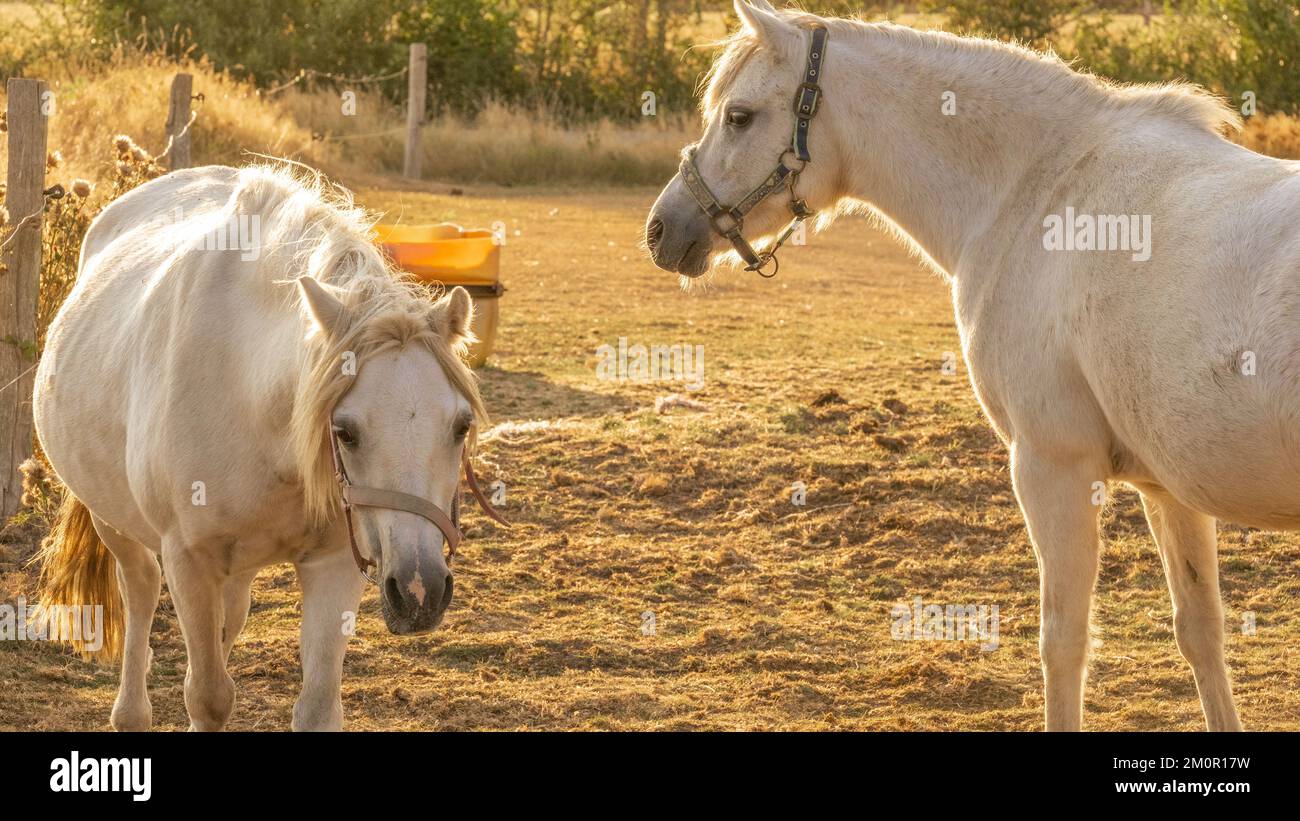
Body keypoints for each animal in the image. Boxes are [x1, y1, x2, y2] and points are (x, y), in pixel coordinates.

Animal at [33, 164, 490, 731]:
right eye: (345, 431)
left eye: (460, 426)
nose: (419, 590)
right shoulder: (188, 562)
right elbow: (208, 696)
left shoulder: (336, 564)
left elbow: (317, 705)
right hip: (111, 520)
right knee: (140, 589)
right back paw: (131, 711)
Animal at [646, 0, 1300, 730]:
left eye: (739, 116)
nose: (662, 229)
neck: (1039, 193)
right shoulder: (1167, 488)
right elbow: (1201, 633)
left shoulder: (1052, 468)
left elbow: (1064, 644)